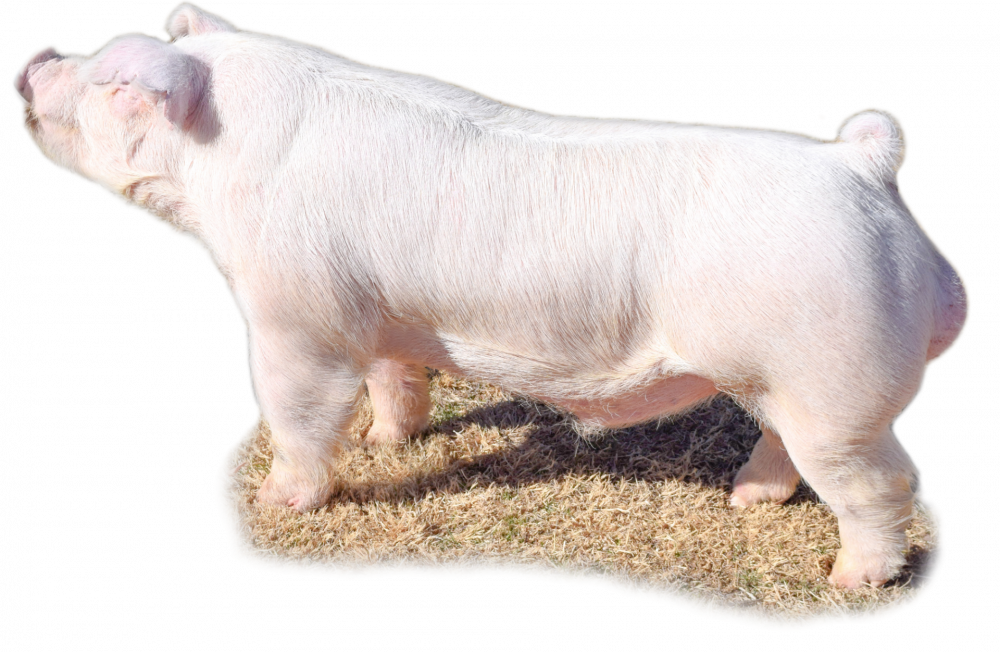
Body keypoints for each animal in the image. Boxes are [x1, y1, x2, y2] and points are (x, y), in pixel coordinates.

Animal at [13, 1, 970, 589]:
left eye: (116, 83)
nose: (31, 59)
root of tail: (864, 166)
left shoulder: (295, 311)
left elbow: (294, 409)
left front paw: (276, 504)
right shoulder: (381, 315)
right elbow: (394, 377)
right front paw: (388, 441)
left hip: (834, 382)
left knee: (879, 486)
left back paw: (846, 581)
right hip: (785, 381)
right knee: (783, 447)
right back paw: (745, 499)